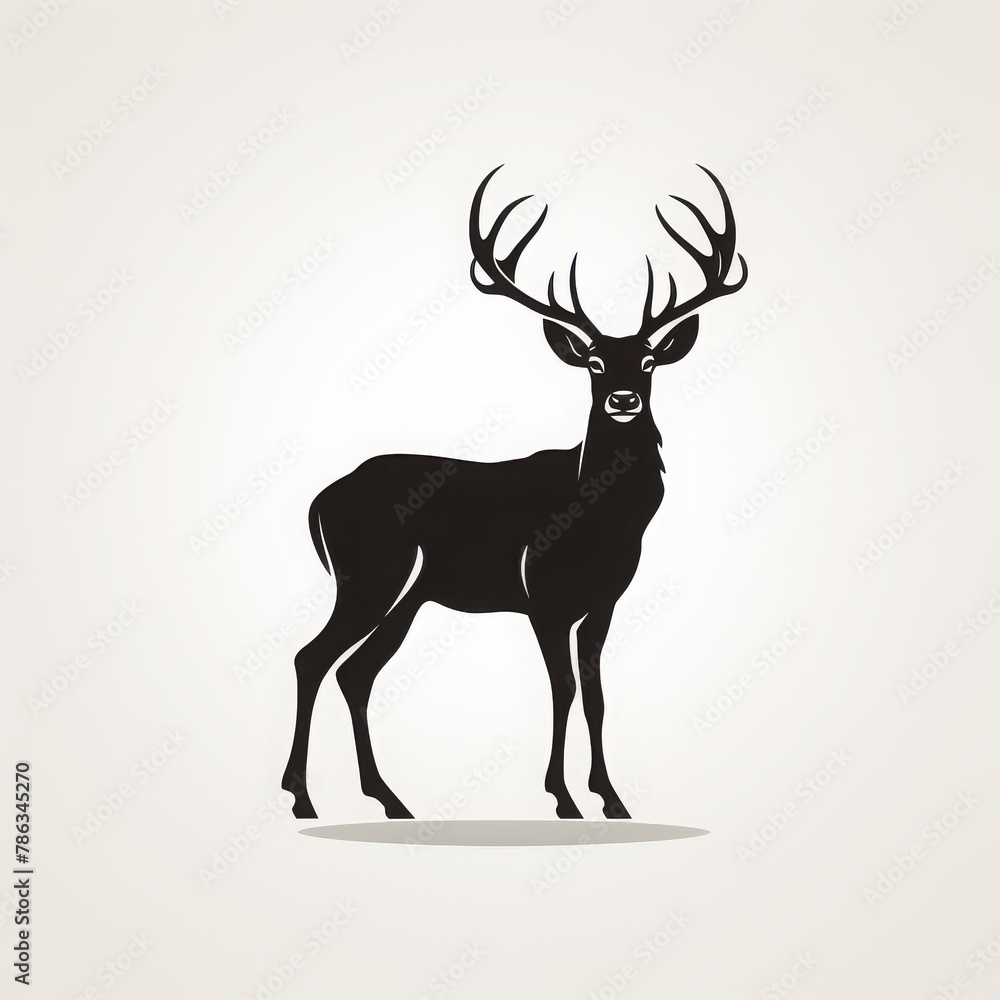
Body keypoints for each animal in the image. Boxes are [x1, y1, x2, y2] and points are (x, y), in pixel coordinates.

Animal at [282, 165, 747, 821]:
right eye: (595, 363)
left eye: (650, 360)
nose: (623, 399)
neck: (603, 519)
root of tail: (321, 498)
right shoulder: (543, 595)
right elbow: (564, 688)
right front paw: (563, 799)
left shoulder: (604, 600)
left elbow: (596, 692)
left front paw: (613, 799)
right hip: (370, 573)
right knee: (313, 658)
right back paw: (303, 798)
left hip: (410, 595)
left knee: (356, 673)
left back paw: (390, 800)